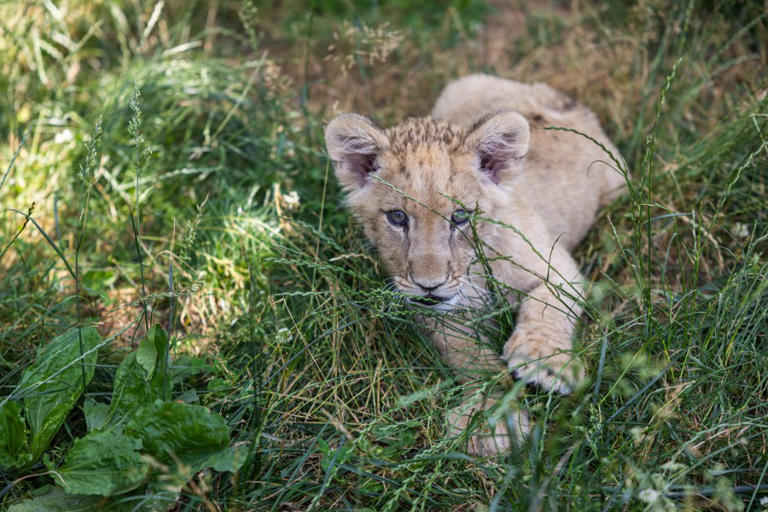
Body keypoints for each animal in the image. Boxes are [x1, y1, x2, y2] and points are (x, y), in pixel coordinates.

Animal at [324, 74, 627, 455]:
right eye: (397, 217)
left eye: (460, 217)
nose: (429, 285)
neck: (476, 272)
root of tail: (552, 93)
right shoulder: (439, 314)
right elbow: (471, 357)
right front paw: (491, 418)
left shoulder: (558, 266)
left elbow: (548, 304)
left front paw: (543, 360)